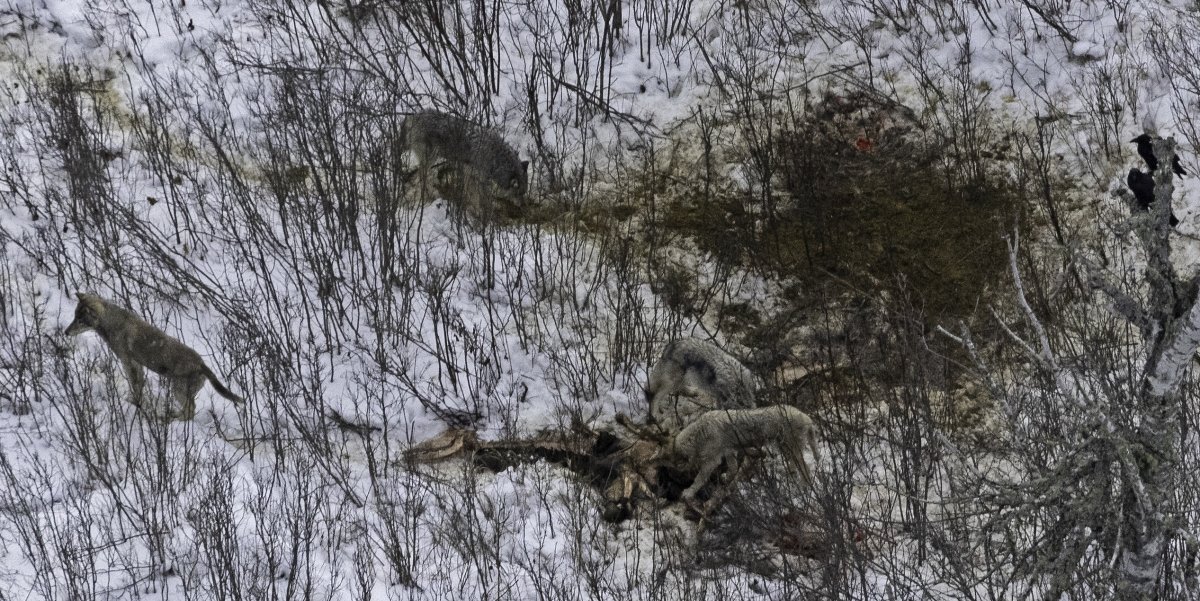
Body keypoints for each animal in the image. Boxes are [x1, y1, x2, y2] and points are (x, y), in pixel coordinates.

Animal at [64, 292, 243, 420]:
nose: (65, 332)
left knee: (190, 412)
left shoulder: (129, 362)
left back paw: (168, 419)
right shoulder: (136, 365)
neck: (110, 321)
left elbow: (136, 387)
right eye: (74, 316)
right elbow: (139, 387)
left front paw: (135, 403)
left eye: (80, 320)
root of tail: (202, 365)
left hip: (178, 391)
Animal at [397, 110, 529, 205]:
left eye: (524, 193)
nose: (522, 205)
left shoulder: (468, 170)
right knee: (421, 174)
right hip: (430, 158)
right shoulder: (474, 174)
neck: (495, 157)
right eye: (518, 194)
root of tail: (412, 117)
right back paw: (430, 194)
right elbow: (480, 195)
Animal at [663, 405, 820, 500]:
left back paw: (804, 487)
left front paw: (688, 492)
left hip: (791, 449)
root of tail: (805, 416)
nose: (670, 472)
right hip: (785, 447)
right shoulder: (730, 451)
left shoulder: (711, 461)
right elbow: (733, 468)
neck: (698, 435)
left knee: (805, 468)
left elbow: (699, 479)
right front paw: (726, 478)